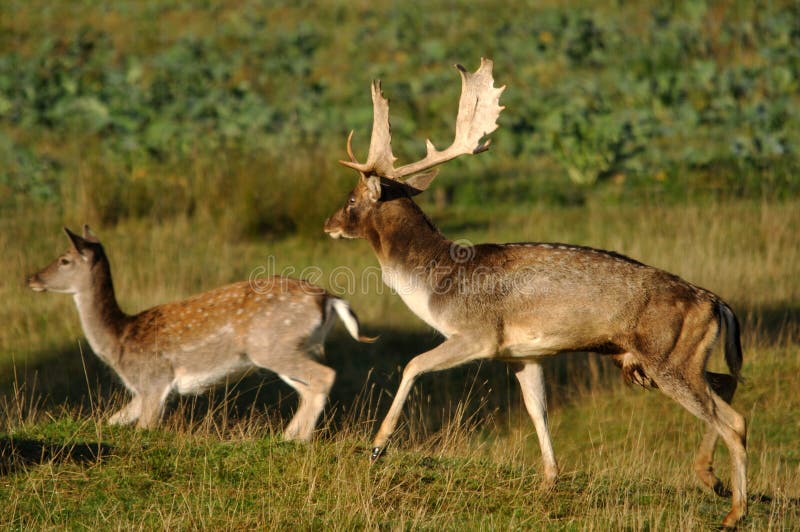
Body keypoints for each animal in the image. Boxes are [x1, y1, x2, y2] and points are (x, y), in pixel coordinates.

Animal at [27, 225, 374, 441]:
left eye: (64, 259)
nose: (31, 277)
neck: (120, 339)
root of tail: (329, 299)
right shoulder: (143, 390)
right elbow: (112, 420)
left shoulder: (154, 380)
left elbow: (143, 428)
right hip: (293, 348)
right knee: (308, 387)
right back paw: (287, 437)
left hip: (274, 346)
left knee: (324, 376)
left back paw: (297, 440)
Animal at [323, 59, 746, 527]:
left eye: (351, 198)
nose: (328, 224)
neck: (436, 282)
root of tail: (718, 304)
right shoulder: (524, 354)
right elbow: (536, 409)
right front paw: (548, 481)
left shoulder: (479, 335)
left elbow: (412, 365)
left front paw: (378, 446)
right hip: (675, 360)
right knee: (728, 385)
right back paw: (711, 479)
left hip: (667, 359)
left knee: (734, 421)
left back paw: (734, 510)